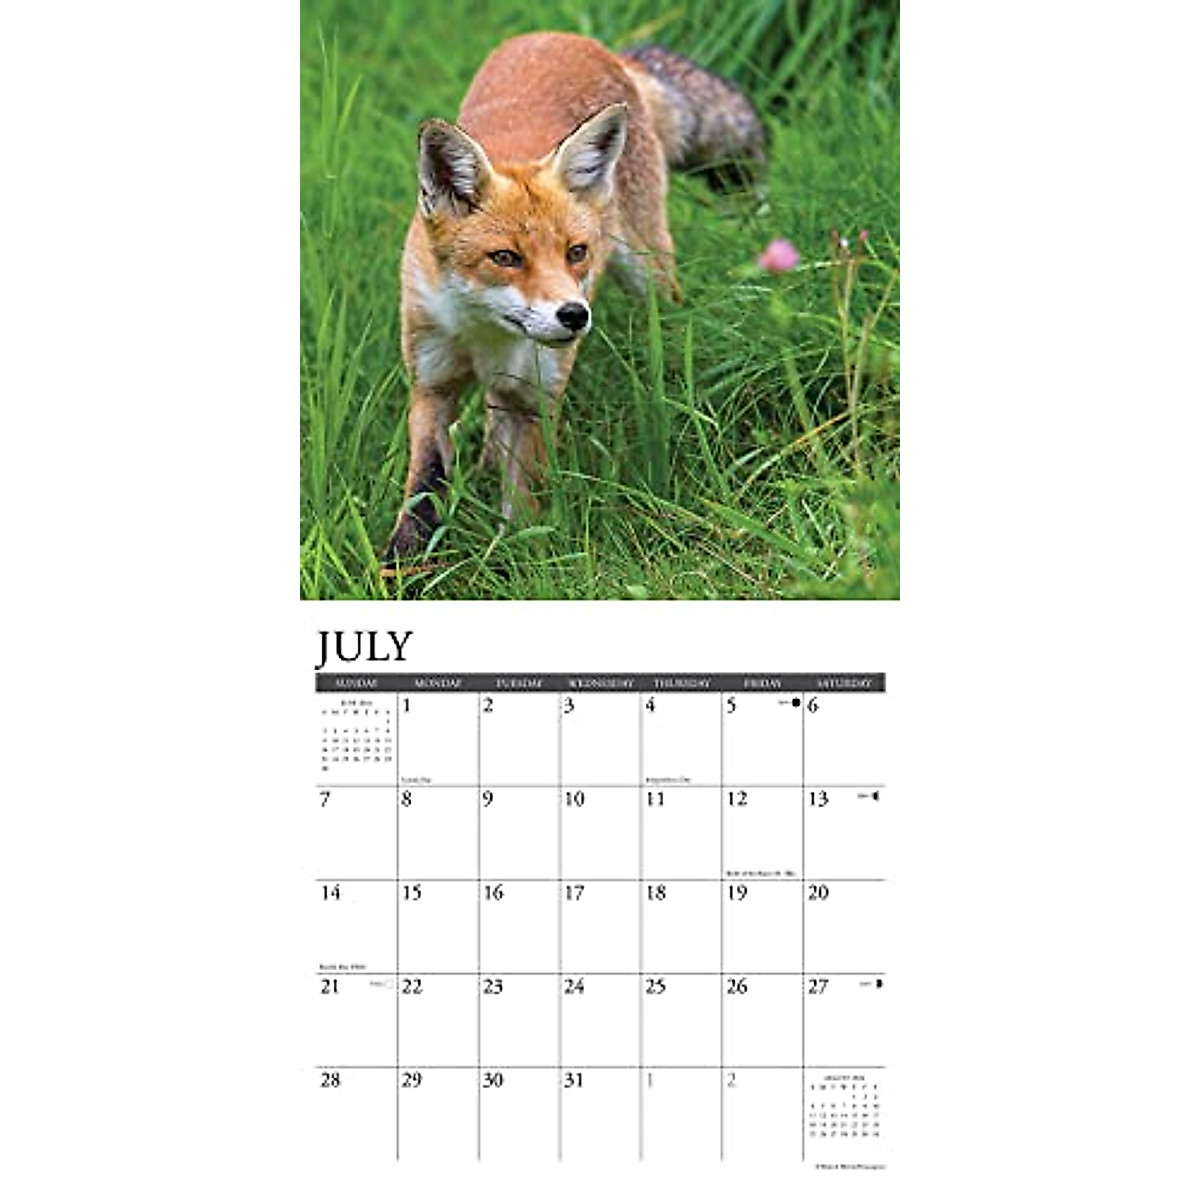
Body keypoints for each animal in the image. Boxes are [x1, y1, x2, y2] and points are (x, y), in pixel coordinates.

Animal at [382, 32, 765, 564]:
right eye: (506, 257)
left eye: (577, 253)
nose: (574, 315)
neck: (485, 333)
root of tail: (590, 45)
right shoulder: (432, 382)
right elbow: (423, 488)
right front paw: (402, 563)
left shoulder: (537, 395)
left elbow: (524, 501)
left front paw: (514, 560)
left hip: (649, 272)